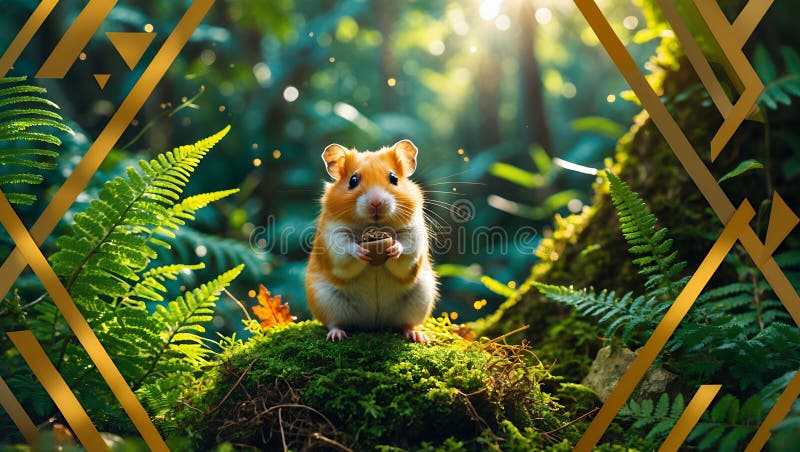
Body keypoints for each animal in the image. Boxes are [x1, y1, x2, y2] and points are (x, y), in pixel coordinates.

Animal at [305, 140, 438, 343]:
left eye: (394, 178)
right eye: (353, 180)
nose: (376, 203)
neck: (374, 225)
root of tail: (373, 323)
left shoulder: (414, 232)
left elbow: (406, 248)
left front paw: (393, 249)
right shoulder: (334, 234)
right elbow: (345, 250)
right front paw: (361, 252)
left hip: (420, 298)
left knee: (405, 324)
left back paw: (417, 335)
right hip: (325, 299)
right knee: (334, 323)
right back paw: (337, 335)